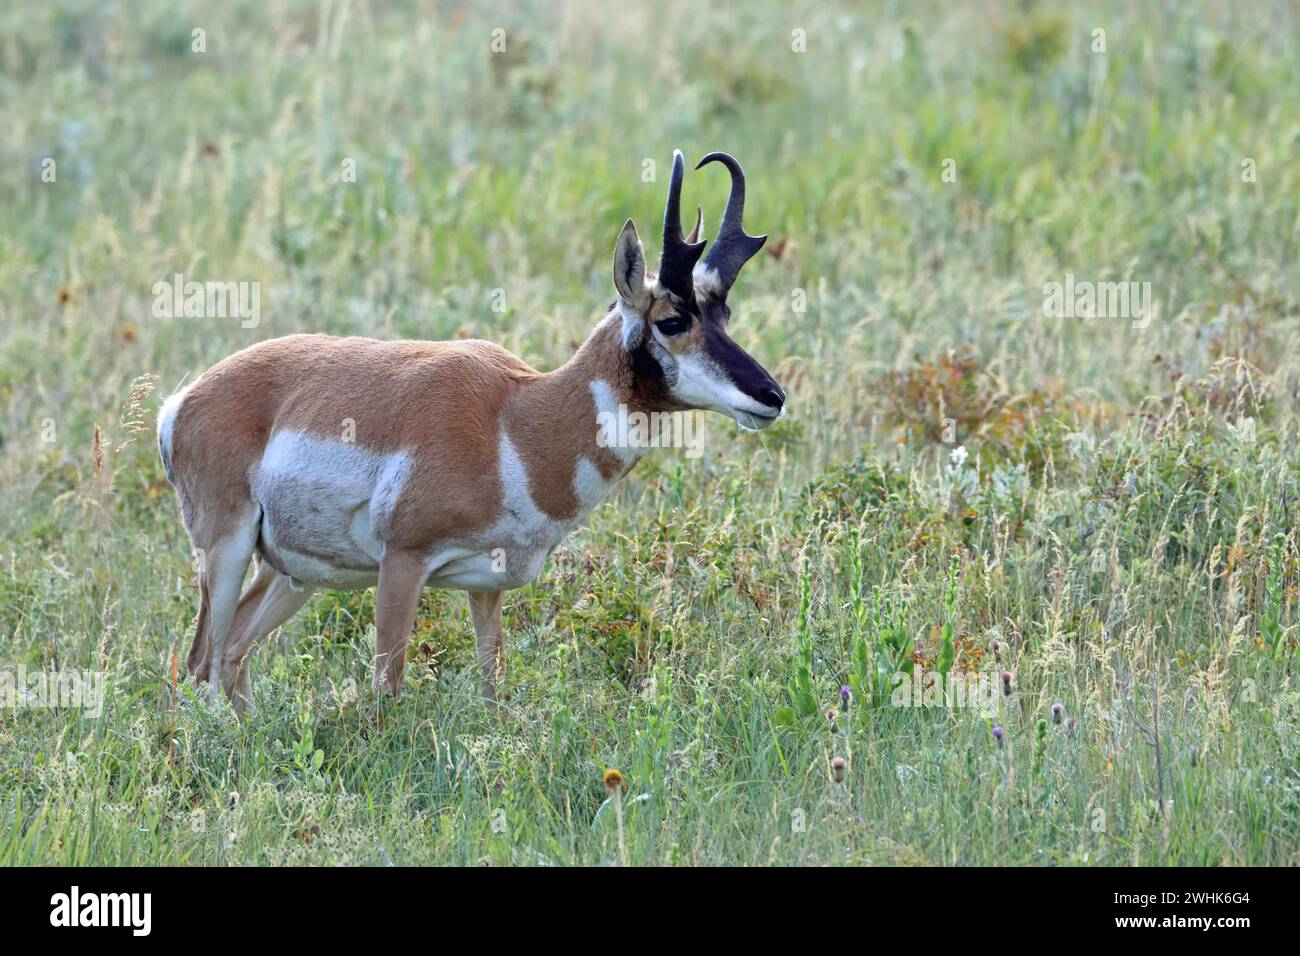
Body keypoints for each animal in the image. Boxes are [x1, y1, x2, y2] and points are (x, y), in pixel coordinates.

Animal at [158, 150, 785, 711]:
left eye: (724, 314)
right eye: (672, 321)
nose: (772, 397)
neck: (517, 417)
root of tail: (185, 399)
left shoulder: (487, 586)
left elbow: (493, 690)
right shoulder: (403, 563)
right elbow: (387, 691)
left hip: (294, 573)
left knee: (233, 652)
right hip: (227, 548)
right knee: (201, 660)